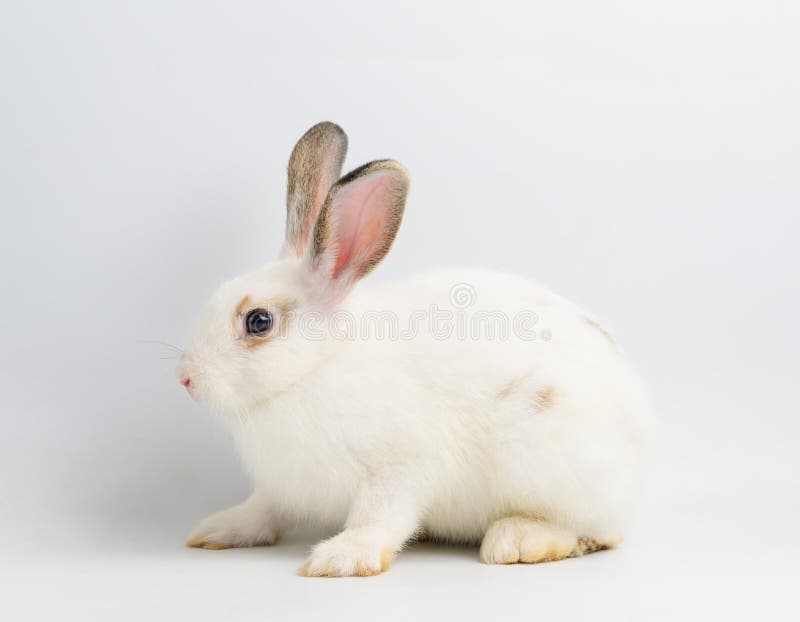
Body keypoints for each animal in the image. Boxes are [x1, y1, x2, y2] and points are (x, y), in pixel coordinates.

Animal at [177, 121, 654, 577]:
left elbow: (379, 517)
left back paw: (519, 540)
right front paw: (218, 530)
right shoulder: (280, 487)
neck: (315, 369)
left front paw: (342, 558)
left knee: (592, 531)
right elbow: (262, 511)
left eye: (258, 321)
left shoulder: (401, 468)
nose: (185, 378)